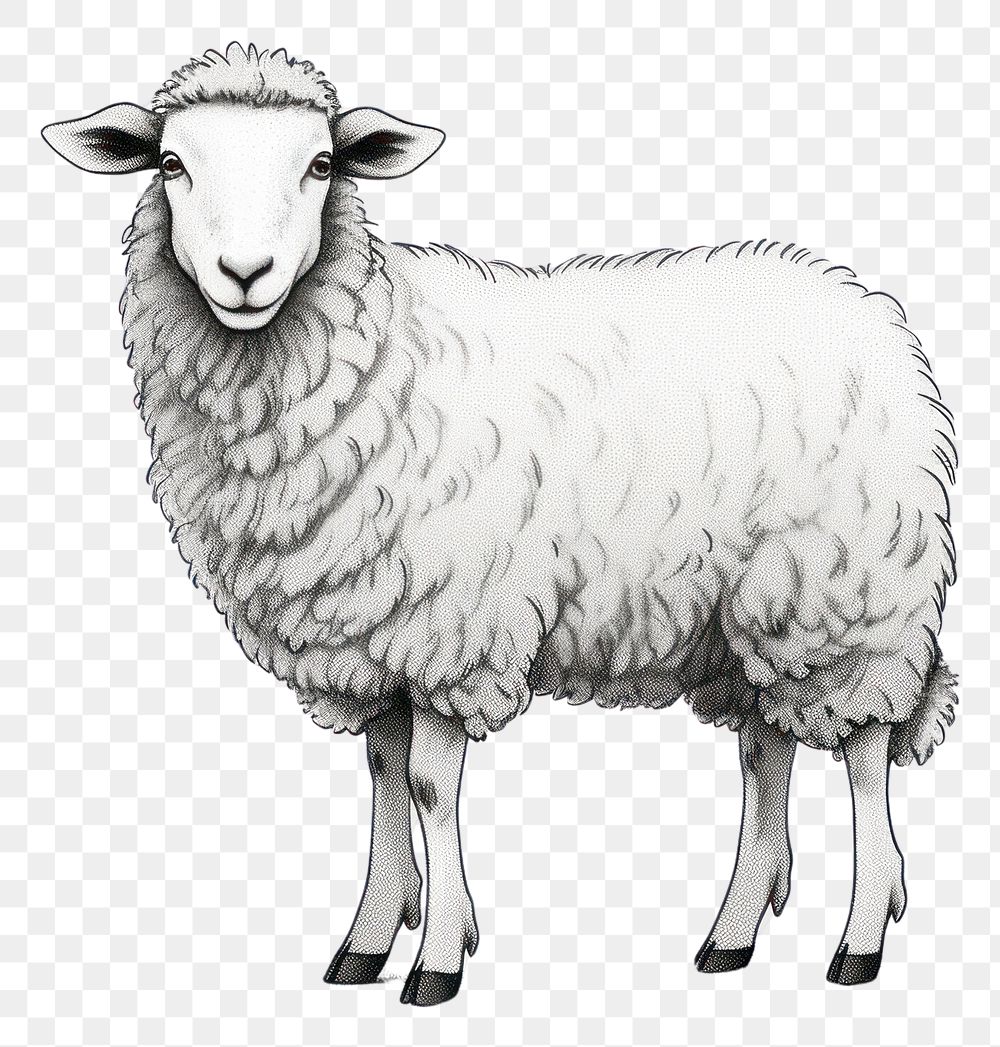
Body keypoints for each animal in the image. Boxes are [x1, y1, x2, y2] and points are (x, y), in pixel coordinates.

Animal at [42, 43, 958, 1006]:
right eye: (172, 165)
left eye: (321, 165)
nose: (245, 272)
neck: (374, 360)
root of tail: (862, 303)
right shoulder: (373, 635)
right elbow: (383, 776)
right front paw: (366, 941)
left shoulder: (452, 628)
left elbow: (429, 788)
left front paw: (438, 959)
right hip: (757, 606)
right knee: (765, 749)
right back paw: (731, 935)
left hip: (855, 594)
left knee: (863, 753)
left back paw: (858, 943)